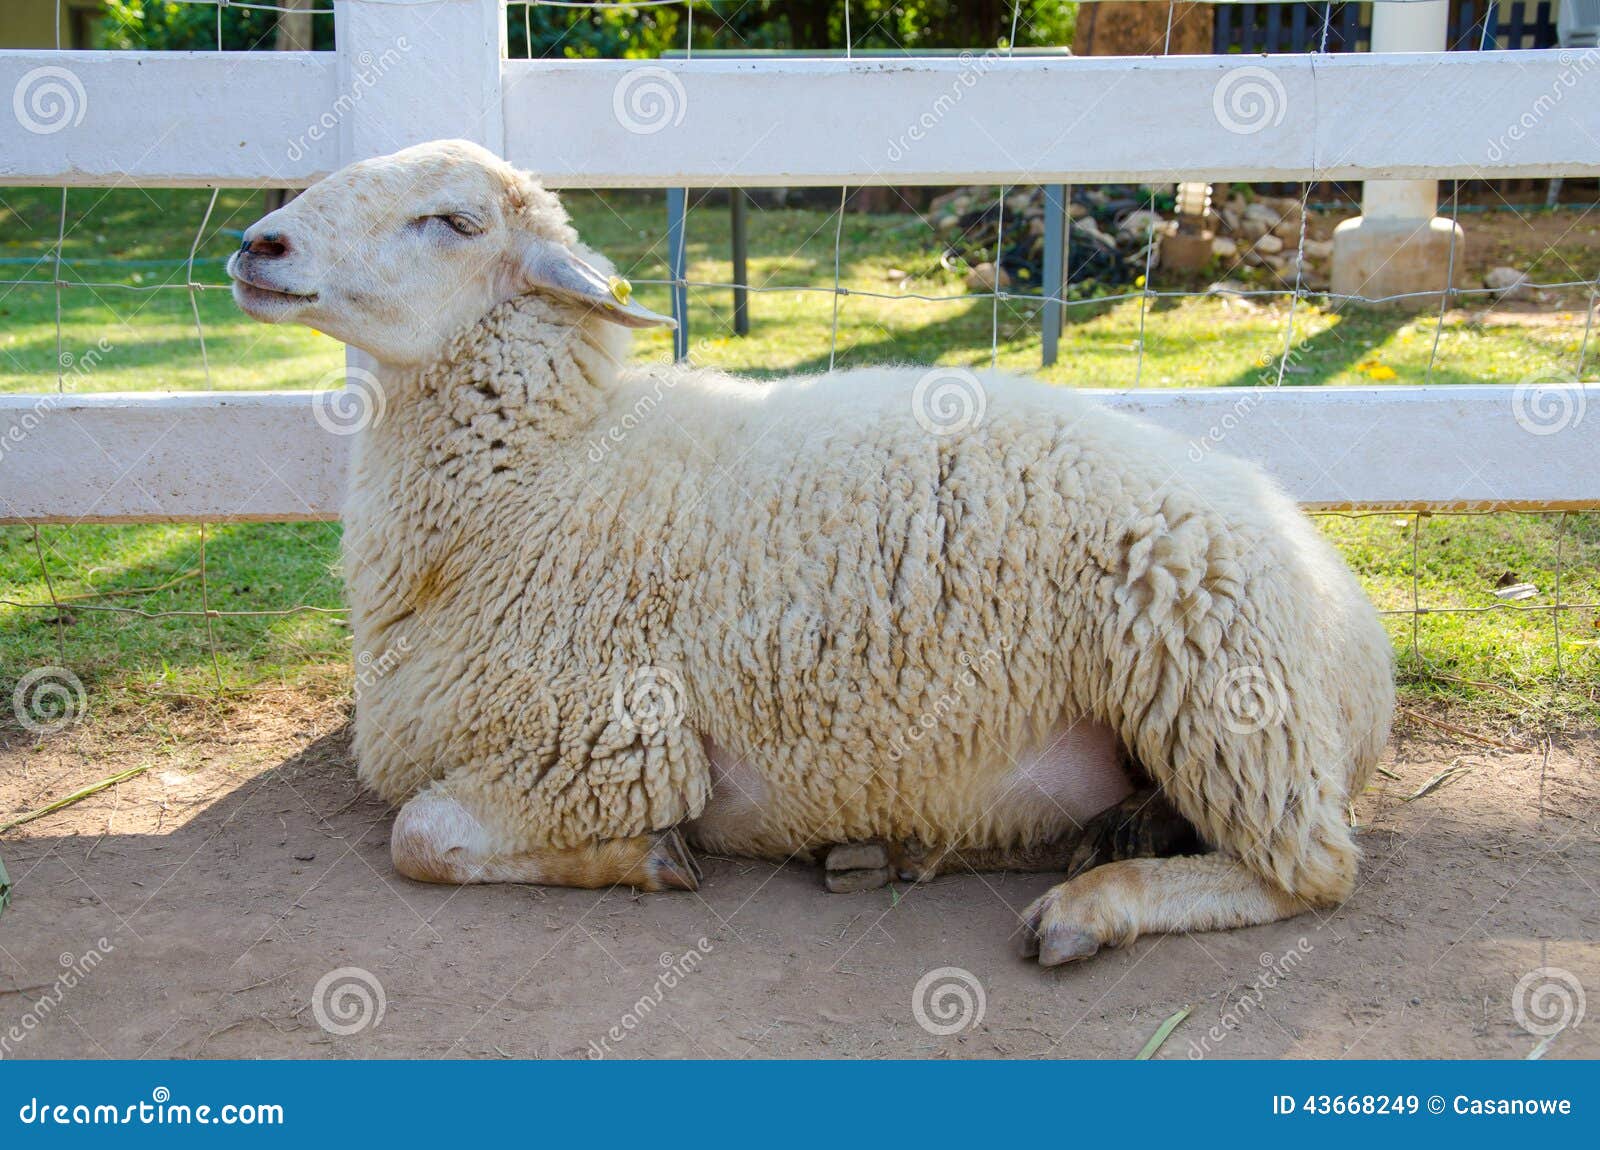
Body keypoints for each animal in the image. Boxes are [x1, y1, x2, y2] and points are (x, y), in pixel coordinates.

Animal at [228, 139, 1394, 966]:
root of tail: (1360, 634)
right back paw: (904, 850)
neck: (543, 479)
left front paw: (646, 857)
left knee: (1312, 876)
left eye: (455, 221)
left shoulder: (612, 742)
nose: (258, 246)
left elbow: (419, 837)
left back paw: (1090, 909)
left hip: (1227, 702)